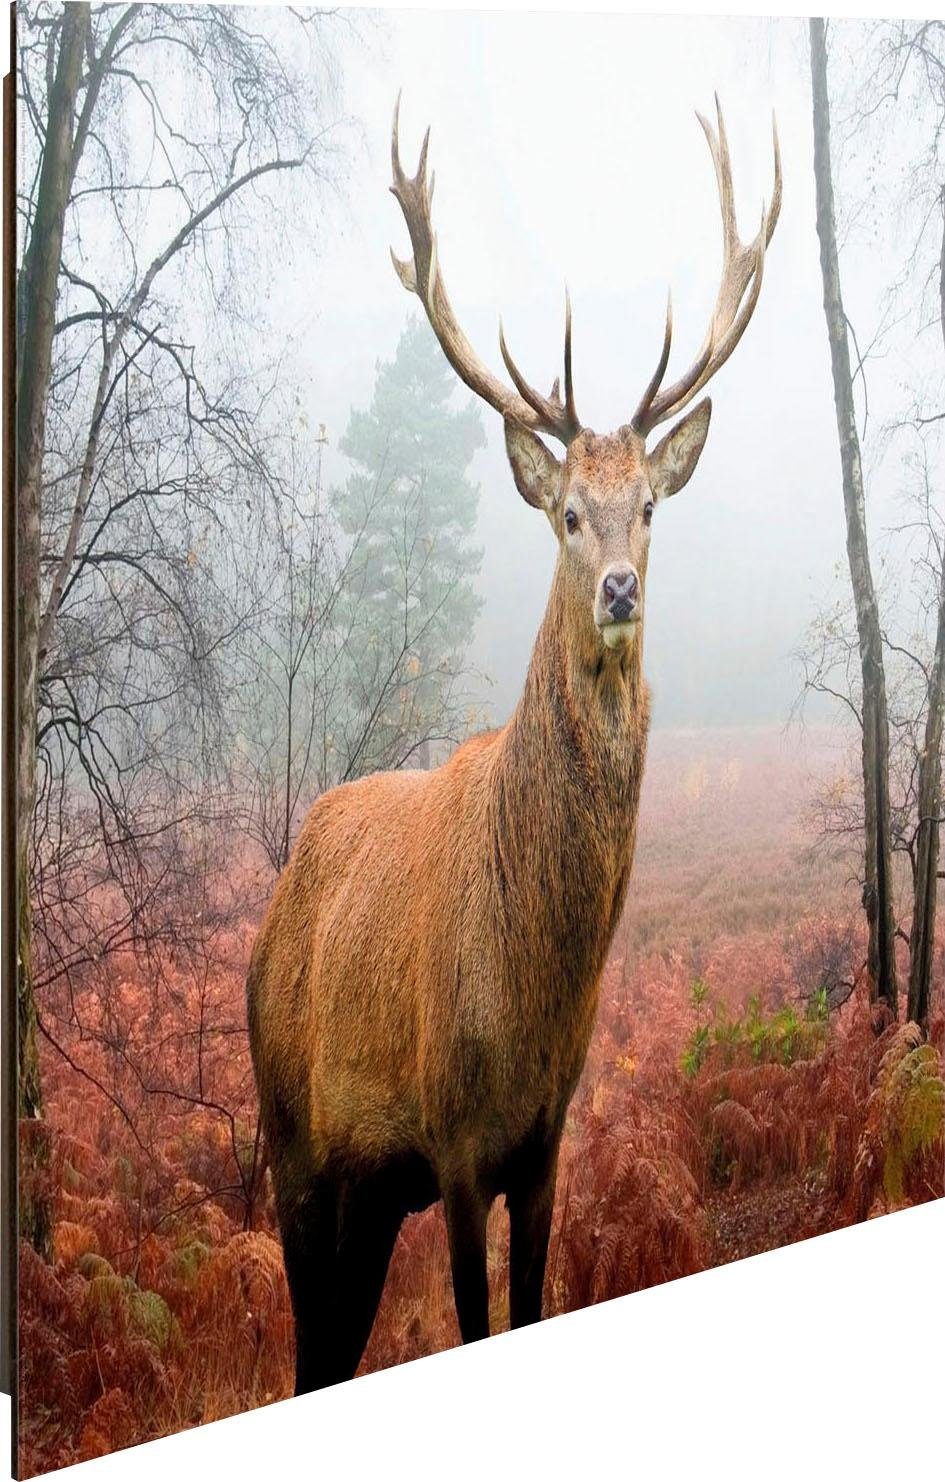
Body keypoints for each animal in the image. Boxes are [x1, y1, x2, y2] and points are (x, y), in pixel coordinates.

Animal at [247, 96, 781, 1395]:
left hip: (363, 1193)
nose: (623, 589)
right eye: (568, 515)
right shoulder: (452, 1142)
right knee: (306, 1343)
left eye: (652, 505)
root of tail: (267, 928)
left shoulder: (542, 1145)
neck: (532, 993)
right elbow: (476, 1320)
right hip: (289, 1138)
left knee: (334, 1341)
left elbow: (535, 1306)